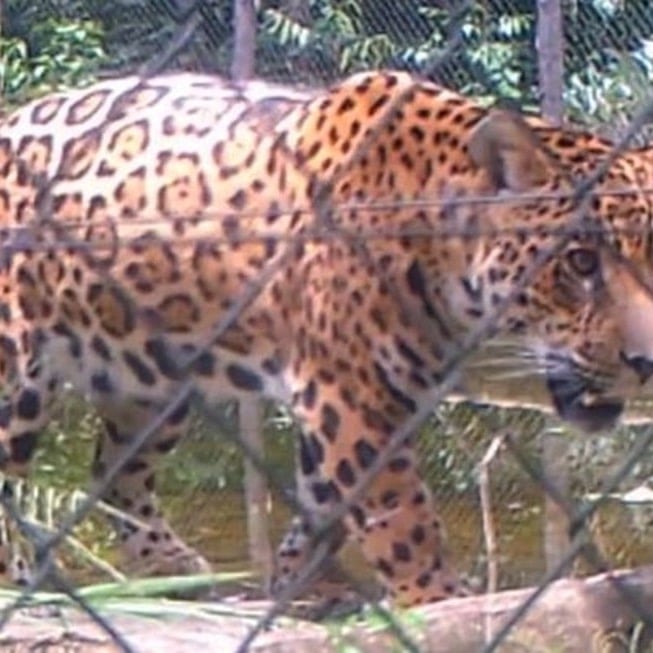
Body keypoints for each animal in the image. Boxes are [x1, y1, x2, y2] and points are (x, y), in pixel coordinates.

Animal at [0, 67, 653, 608]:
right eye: (581, 262)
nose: (645, 362)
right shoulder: (354, 393)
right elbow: (400, 515)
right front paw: (432, 597)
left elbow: (323, 502)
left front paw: (304, 584)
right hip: (17, 370)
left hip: (150, 383)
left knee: (116, 473)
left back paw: (168, 567)